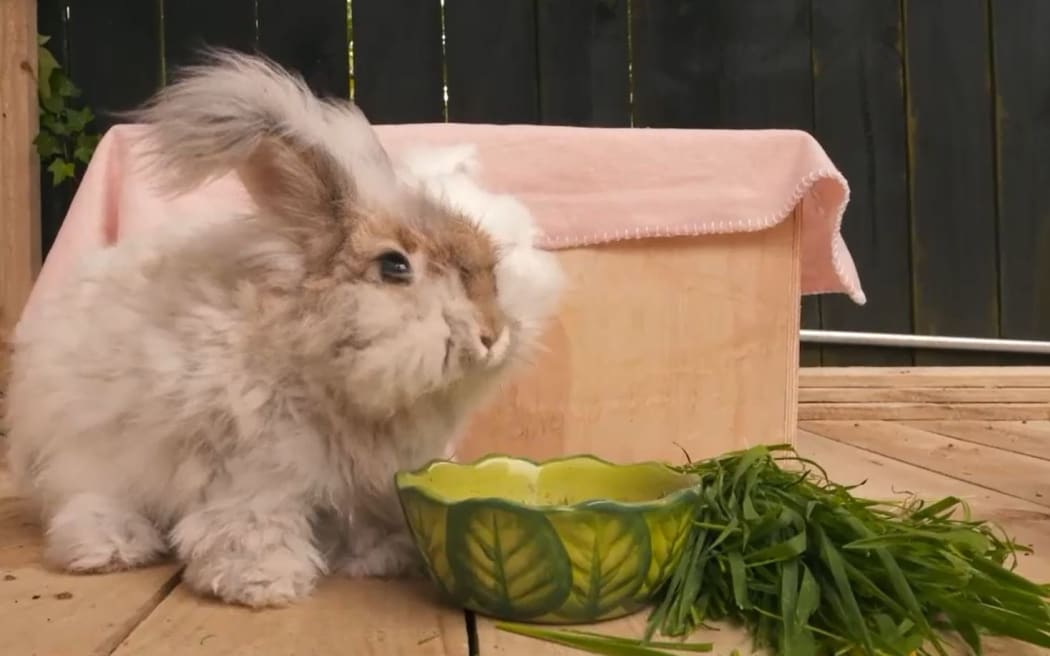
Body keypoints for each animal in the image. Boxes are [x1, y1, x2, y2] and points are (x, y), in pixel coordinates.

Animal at [2, 50, 564, 608]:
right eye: (394, 266)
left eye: (492, 265)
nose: (492, 336)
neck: (315, 363)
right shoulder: (252, 470)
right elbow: (251, 522)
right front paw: (264, 582)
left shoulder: (362, 485)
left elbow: (362, 523)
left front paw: (383, 558)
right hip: (89, 450)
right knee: (87, 498)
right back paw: (111, 547)